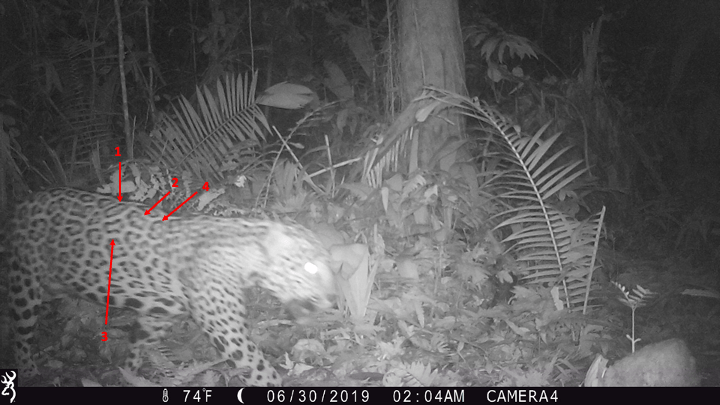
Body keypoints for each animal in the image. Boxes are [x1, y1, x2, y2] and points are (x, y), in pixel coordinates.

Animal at [5, 188, 335, 386]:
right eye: (310, 267)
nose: (332, 299)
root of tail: (23, 203)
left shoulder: (158, 314)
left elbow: (138, 344)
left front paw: (130, 374)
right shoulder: (230, 334)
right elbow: (260, 370)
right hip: (26, 285)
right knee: (20, 334)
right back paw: (29, 373)